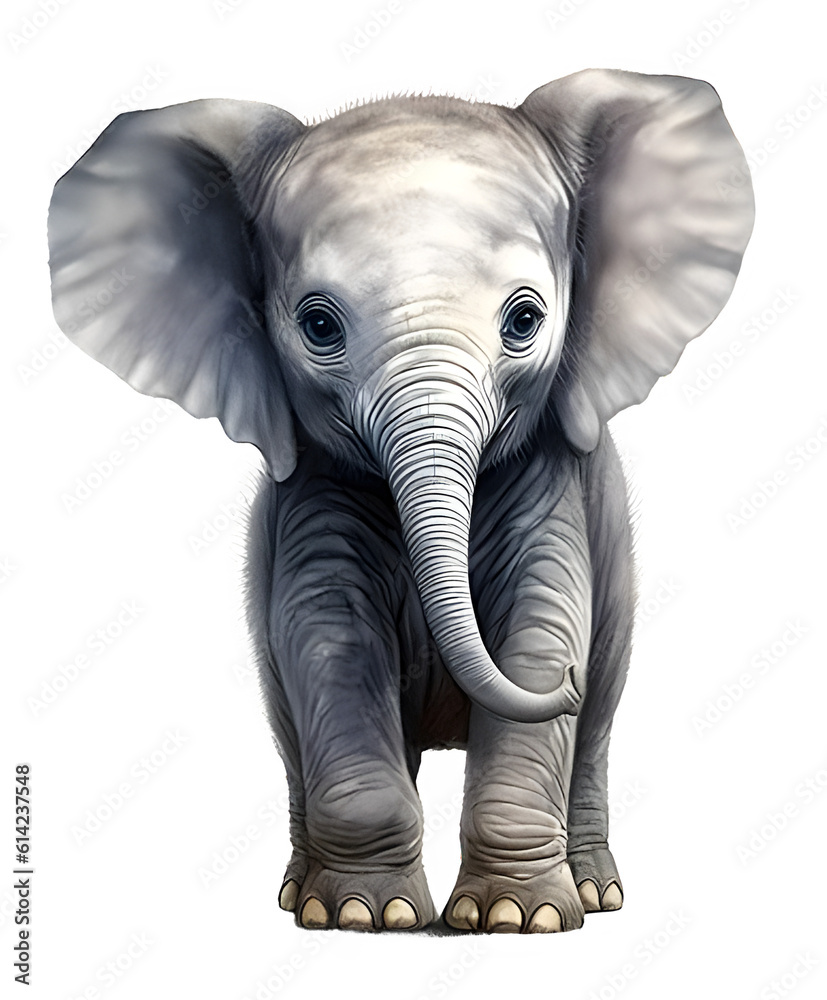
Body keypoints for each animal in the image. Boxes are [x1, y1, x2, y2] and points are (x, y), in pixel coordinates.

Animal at [48, 68, 754, 934]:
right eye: (318, 326)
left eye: (525, 319)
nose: (564, 684)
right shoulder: (315, 489)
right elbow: (329, 642)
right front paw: (362, 915)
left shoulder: (551, 482)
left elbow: (540, 625)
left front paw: (515, 920)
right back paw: (298, 897)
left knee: (597, 719)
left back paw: (595, 895)